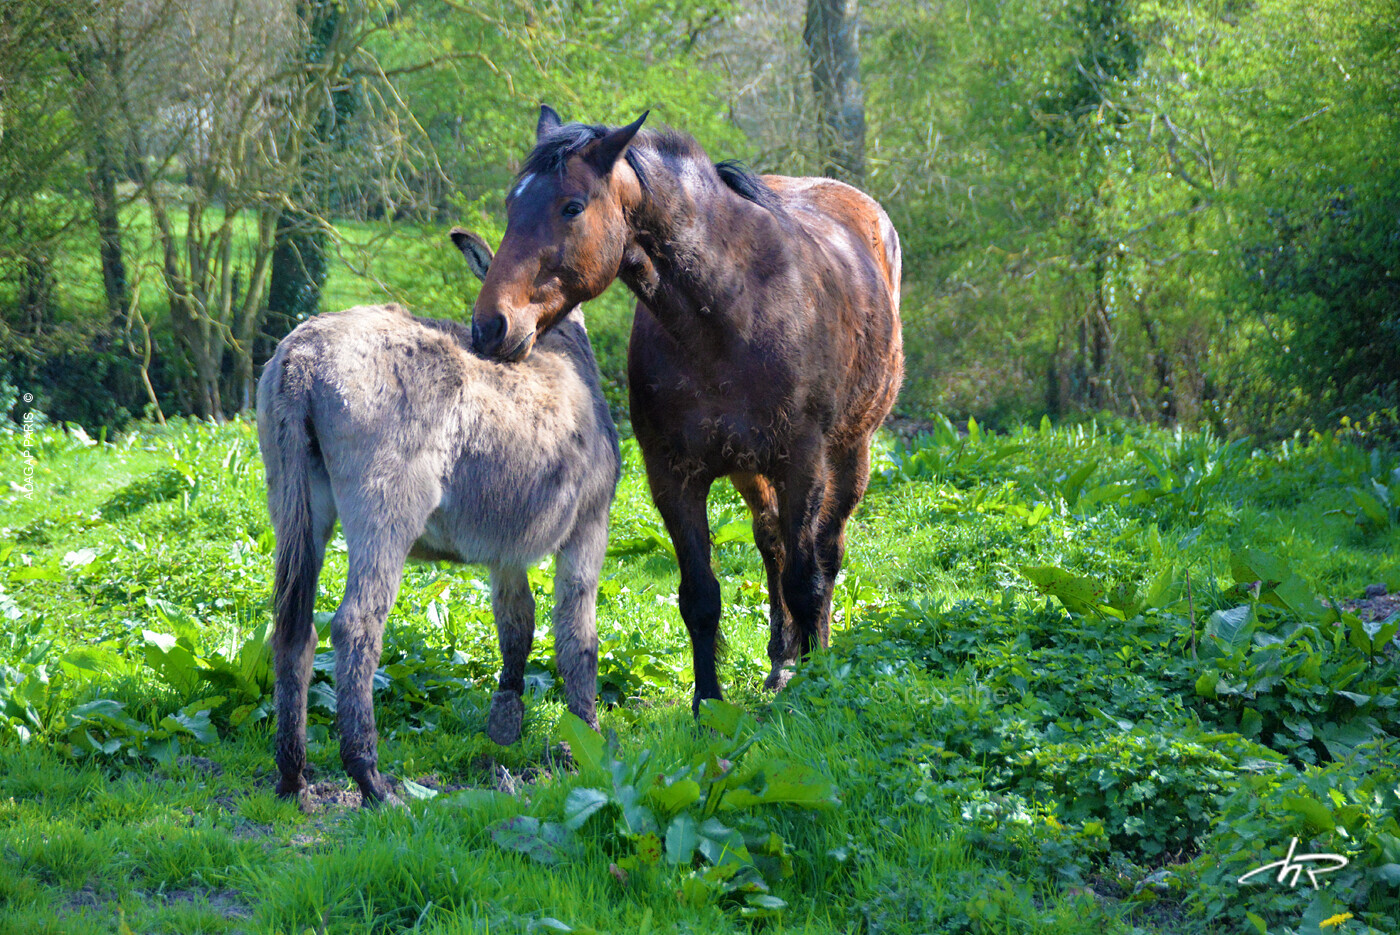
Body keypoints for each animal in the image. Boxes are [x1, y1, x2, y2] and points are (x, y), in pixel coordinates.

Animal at [256, 228, 620, 806]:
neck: (561, 347)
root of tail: (305, 355)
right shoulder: (589, 526)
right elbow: (577, 636)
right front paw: (586, 741)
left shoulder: (506, 549)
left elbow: (516, 623)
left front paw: (506, 721)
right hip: (386, 510)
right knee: (356, 626)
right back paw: (370, 778)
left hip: (296, 504)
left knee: (294, 631)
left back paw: (294, 777)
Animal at [469, 105, 902, 710]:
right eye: (513, 205)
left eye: (572, 206)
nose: (491, 325)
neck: (732, 315)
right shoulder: (673, 477)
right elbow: (700, 596)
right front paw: (709, 704)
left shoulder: (802, 466)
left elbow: (806, 579)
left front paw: (815, 686)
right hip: (750, 470)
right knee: (771, 544)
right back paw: (781, 660)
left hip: (850, 453)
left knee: (825, 552)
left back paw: (813, 653)